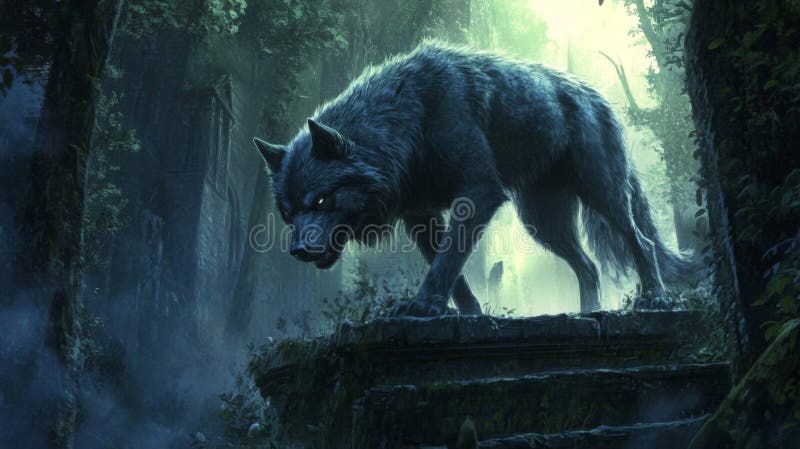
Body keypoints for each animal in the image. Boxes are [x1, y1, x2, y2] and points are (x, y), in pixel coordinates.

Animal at [253, 40, 694, 317]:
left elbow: (447, 262)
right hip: (542, 224)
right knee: (588, 266)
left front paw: (423, 307)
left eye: (320, 201)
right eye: (288, 214)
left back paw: (654, 299)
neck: (407, 122)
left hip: (602, 195)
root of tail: (596, 94)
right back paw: (587, 313)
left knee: (641, 242)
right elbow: (453, 272)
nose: (297, 251)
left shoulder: (479, 194)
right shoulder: (421, 216)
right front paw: (463, 313)